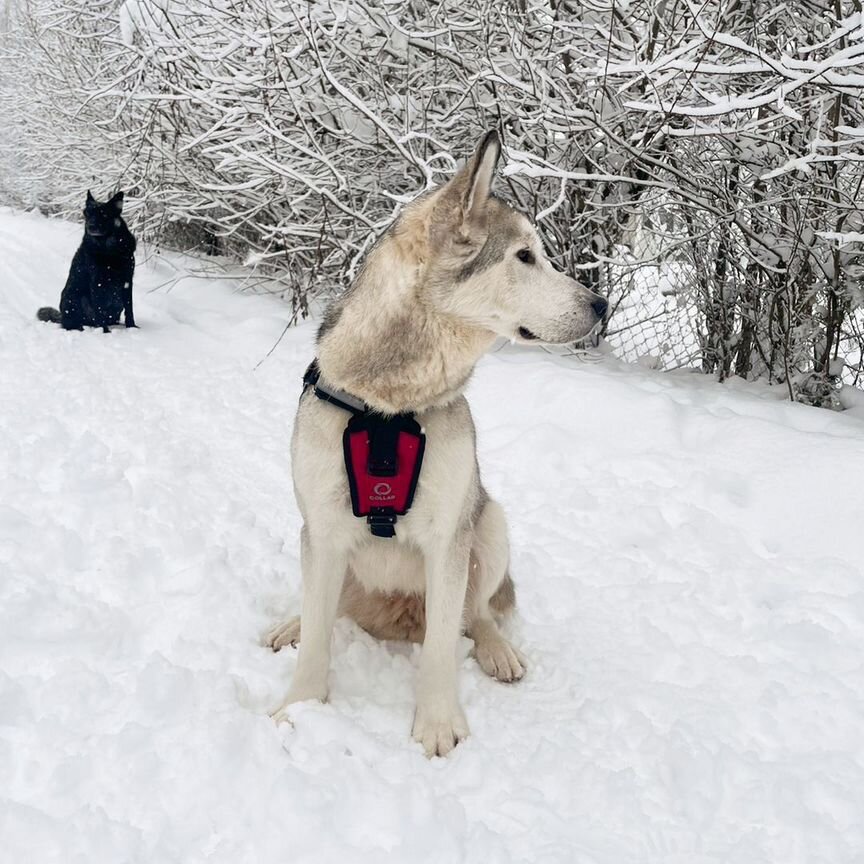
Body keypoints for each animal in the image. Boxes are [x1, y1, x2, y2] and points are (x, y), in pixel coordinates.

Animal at [38, 191, 137, 332]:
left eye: (103, 214)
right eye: (88, 214)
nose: (91, 226)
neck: (108, 249)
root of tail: (62, 316)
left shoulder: (127, 280)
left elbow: (129, 308)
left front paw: (132, 327)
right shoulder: (97, 282)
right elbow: (99, 310)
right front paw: (105, 331)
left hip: (116, 304)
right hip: (74, 299)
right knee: (76, 322)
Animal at [270, 130, 608, 756]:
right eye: (524, 257)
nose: (600, 305)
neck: (389, 405)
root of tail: (393, 617)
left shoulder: (448, 536)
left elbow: (442, 647)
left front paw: (436, 723)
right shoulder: (323, 528)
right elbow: (319, 641)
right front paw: (299, 708)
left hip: (488, 521)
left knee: (475, 615)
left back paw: (496, 649)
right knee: (327, 609)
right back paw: (293, 622)